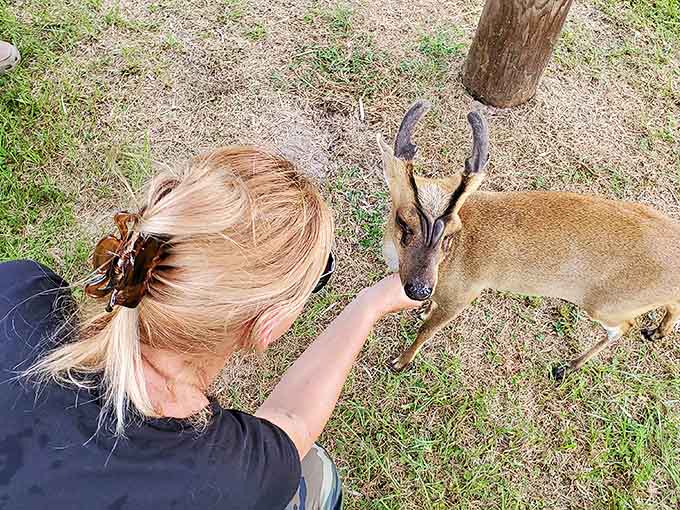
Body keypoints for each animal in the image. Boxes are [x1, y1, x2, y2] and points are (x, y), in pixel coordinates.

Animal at [379, 100, 680, 381]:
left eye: (452, 231)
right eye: (403, 222)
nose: (419, 289)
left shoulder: (463, 295)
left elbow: (426, 331)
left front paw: (400, 362)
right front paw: (422, 312)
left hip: (606, 306)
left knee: (625, 326)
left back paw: (566, 367)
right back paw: (656, 332)